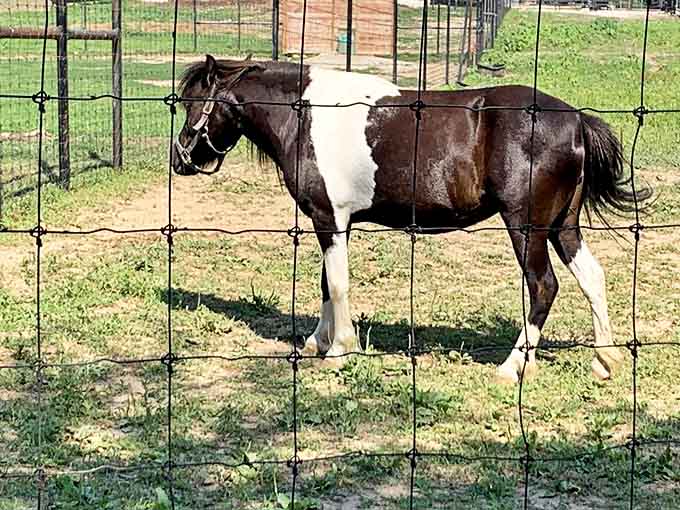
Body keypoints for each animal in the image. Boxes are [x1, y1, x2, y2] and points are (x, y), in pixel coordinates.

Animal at [172, 55, 650, 384]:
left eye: (194, 103)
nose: (180, 159)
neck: (307, 117)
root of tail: (576, 120)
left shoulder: (330, 218)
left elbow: (337, 284)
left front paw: (339, 349)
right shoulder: (335, 223)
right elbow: (326, 282)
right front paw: (317, 341)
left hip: (527, 228)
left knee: (543, 286)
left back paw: (512, 366)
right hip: (562, 225)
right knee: (592, 277)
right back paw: (604, 360)